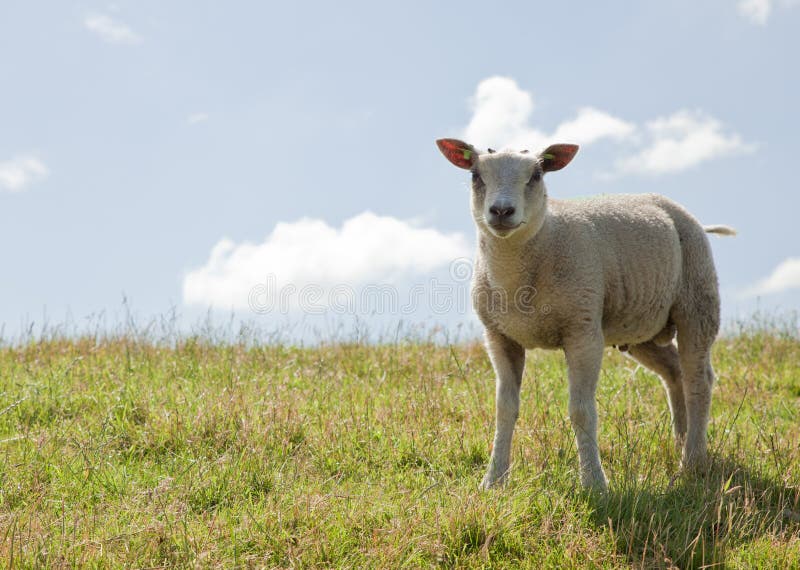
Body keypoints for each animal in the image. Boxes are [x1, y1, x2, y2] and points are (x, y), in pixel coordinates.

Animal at [436, 138, 735, 491]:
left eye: (536, 175)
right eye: (475, 175)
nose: (501, 211)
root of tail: (691, 219)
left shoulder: (583, 331)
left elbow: (581, 410)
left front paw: (594, 482)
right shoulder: (499, 336)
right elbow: (505, 408)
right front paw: (494, 480)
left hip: (697, 302)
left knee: (699, 380)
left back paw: (693, 462)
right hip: (642, 326)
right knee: (674, 373)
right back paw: (682, 443)